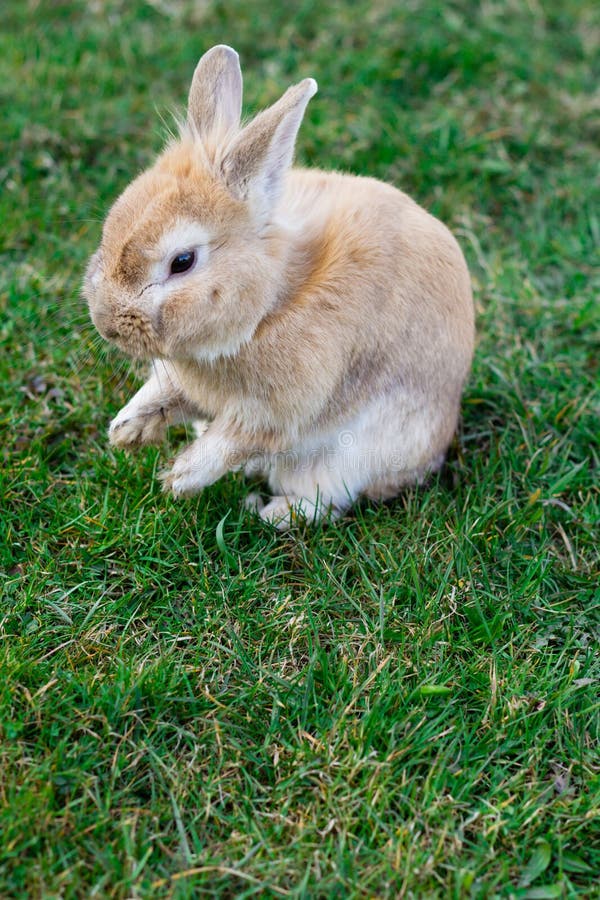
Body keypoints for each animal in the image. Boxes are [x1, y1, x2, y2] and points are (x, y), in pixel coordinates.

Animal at [83, 44, 474, 529]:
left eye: (182, 262)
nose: (105, 324)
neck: (270, 303)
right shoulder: (186, 385)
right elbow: (164, 393)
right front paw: (125, 430)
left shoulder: (278, 410)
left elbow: (236, 439)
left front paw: (180, 477)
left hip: (347, 462)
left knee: (326, 501)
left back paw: (269, 513)